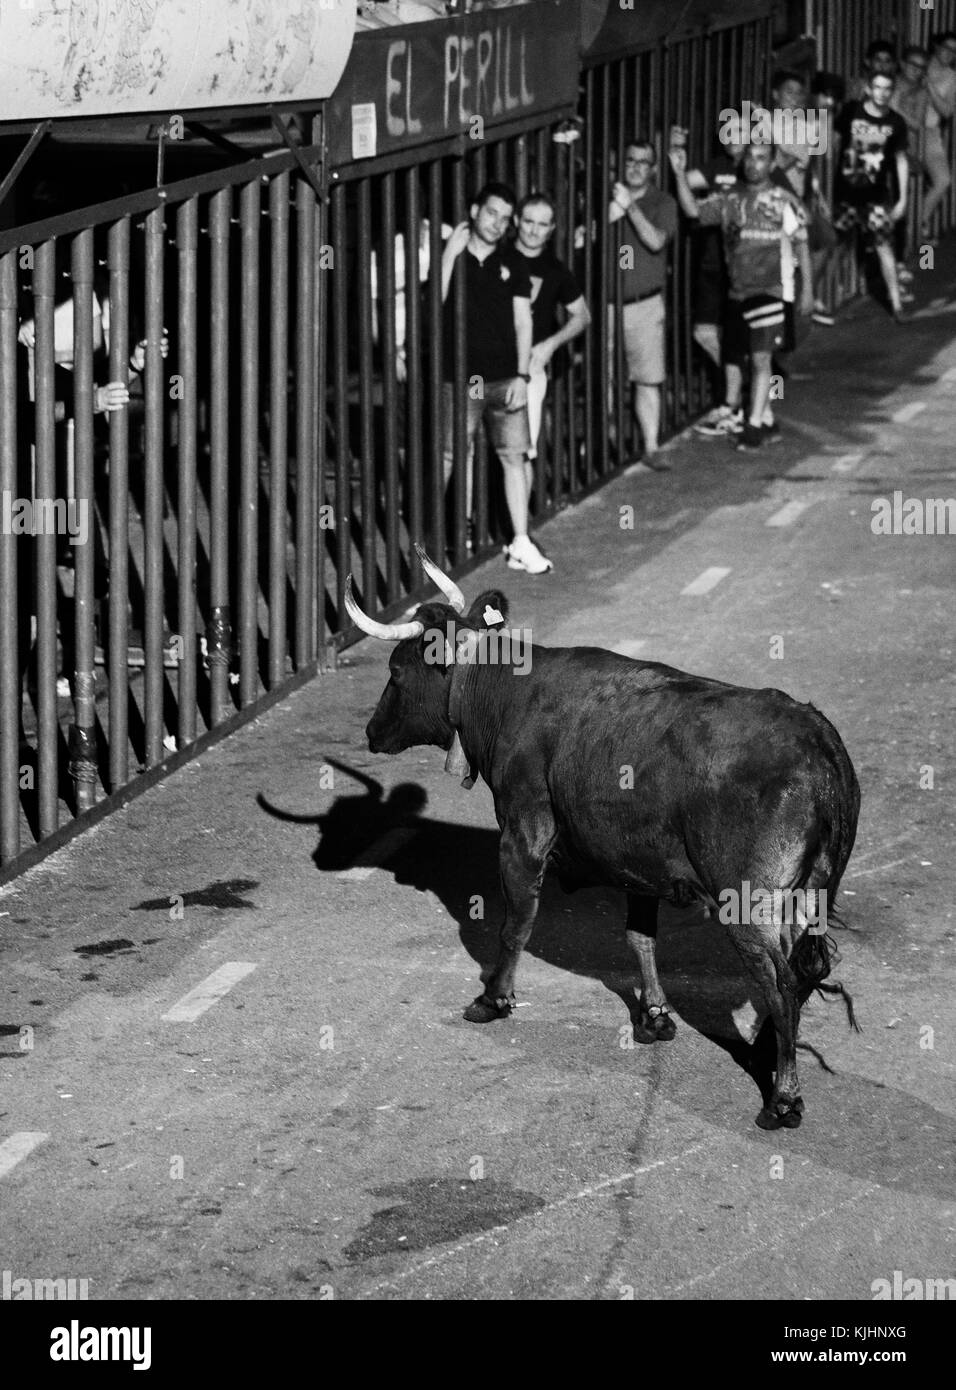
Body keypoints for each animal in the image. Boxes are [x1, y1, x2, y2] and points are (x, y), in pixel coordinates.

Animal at [345, 546, 861, 1130]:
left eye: (395, 670)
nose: (371, 731)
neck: (505, 692)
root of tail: (818, 739)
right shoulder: (639, 861)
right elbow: (640, 937)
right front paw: (654, 1015)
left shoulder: (522, 832)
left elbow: (514, 925)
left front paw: (494, 998)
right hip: (808, 894)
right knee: (799, 973)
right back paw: (764, 1057)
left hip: (750, 901)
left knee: (780, 984)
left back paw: (783, 1096)